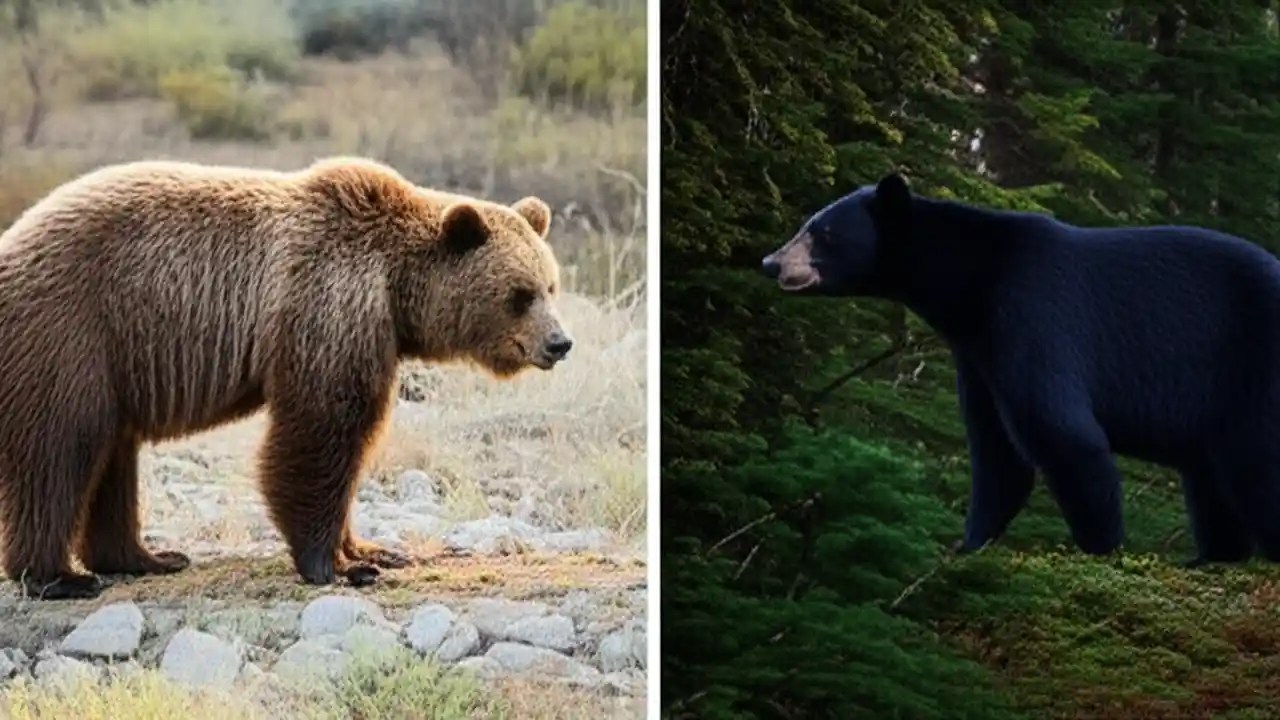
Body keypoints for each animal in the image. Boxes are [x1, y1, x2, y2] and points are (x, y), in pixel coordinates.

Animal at [0, 156, 573, 600]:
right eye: (519, 295)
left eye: (551, 286)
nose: (559, 343)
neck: (394, 286)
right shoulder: (330, 304)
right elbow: (321, 431)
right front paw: (338, 565)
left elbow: (350, 445)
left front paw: (373, 549)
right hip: (71, 330)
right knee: (60, 447)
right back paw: (58, 576)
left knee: (112, 456)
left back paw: (147, 557)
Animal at [762, 173, 1280, 565]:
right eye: (807, 222)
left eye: (824, 231)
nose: (771, 262)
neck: (972, 282)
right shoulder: (978, 357)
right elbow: (996, 453)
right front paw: (967, 545)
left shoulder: (1031, 311)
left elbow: (1063, 433)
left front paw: (1103, 550)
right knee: (1211, 480)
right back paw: (1212, 557)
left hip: (1251, 366)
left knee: (1253, 466)